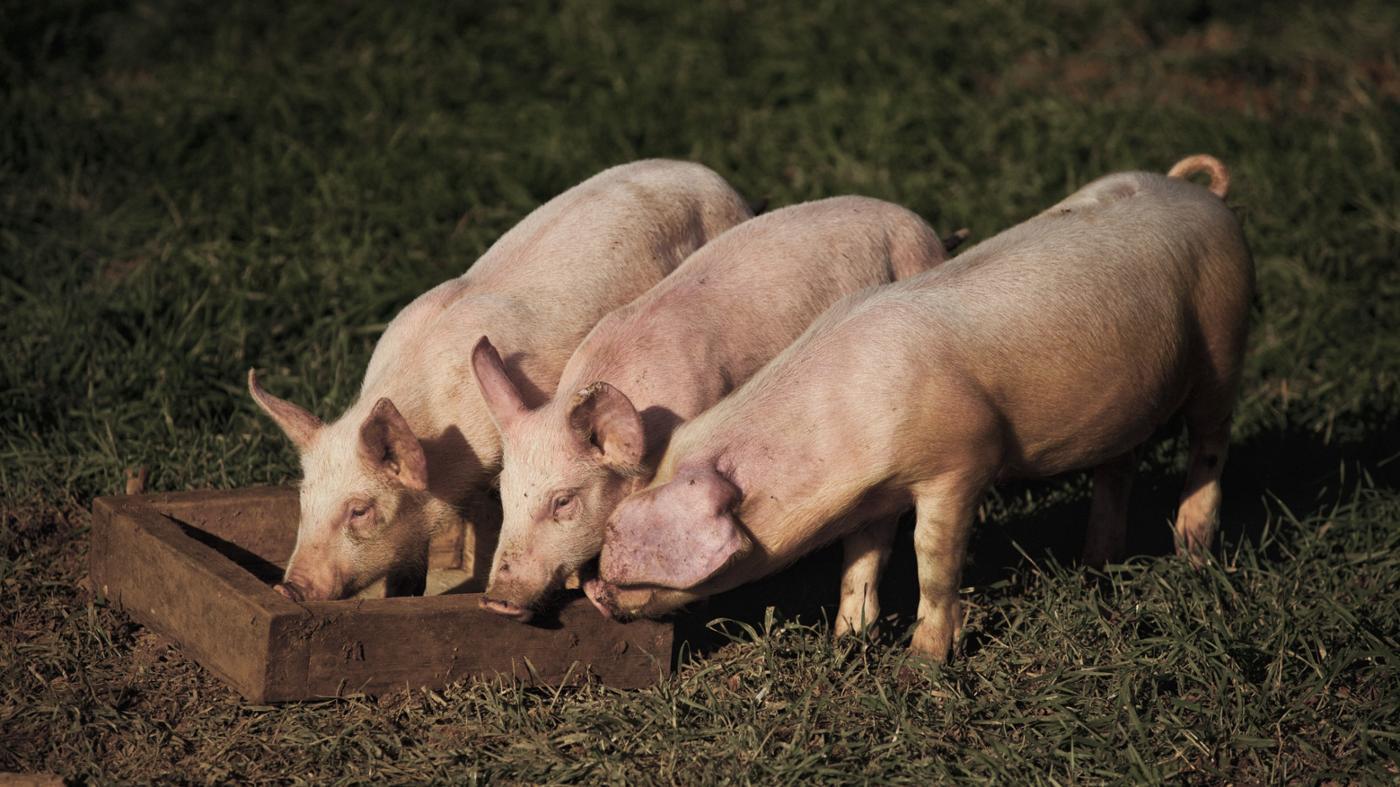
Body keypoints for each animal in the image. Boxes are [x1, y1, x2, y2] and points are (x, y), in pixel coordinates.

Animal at [589, 155, 1254, 661]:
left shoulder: (960, 463)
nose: (593, 589)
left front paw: (922, 663)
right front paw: (846, 645)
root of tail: (1202, 191)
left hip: (1224, 338)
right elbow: (860, 562)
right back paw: (1094, 564)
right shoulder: (871, 495)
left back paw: (1192, 554)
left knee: (1211, 442)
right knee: (1119, 465)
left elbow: (932, 561)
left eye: (621, 541)